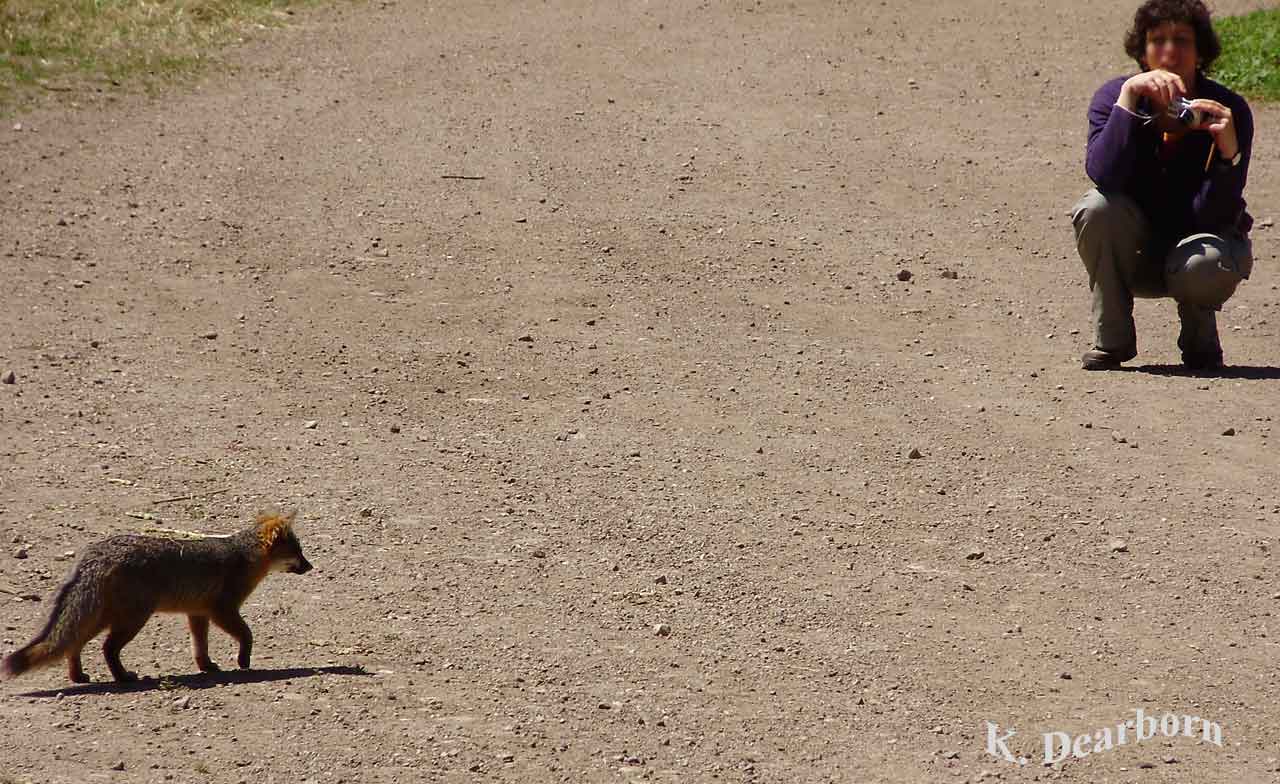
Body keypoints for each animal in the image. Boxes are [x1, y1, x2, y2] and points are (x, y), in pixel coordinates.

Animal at [1, 510, 312, 684]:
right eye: (298, 553)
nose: (311, 566)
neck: (243, 555)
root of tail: (95, 554)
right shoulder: (223, 610)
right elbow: (247, 634)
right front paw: (243, 660)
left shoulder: (198, 613)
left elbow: (200, 646)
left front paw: (207, 666)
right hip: (132, 619)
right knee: (106, 648)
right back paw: (123, 677)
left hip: (103, 617)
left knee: (73, 645)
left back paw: (79, 677)